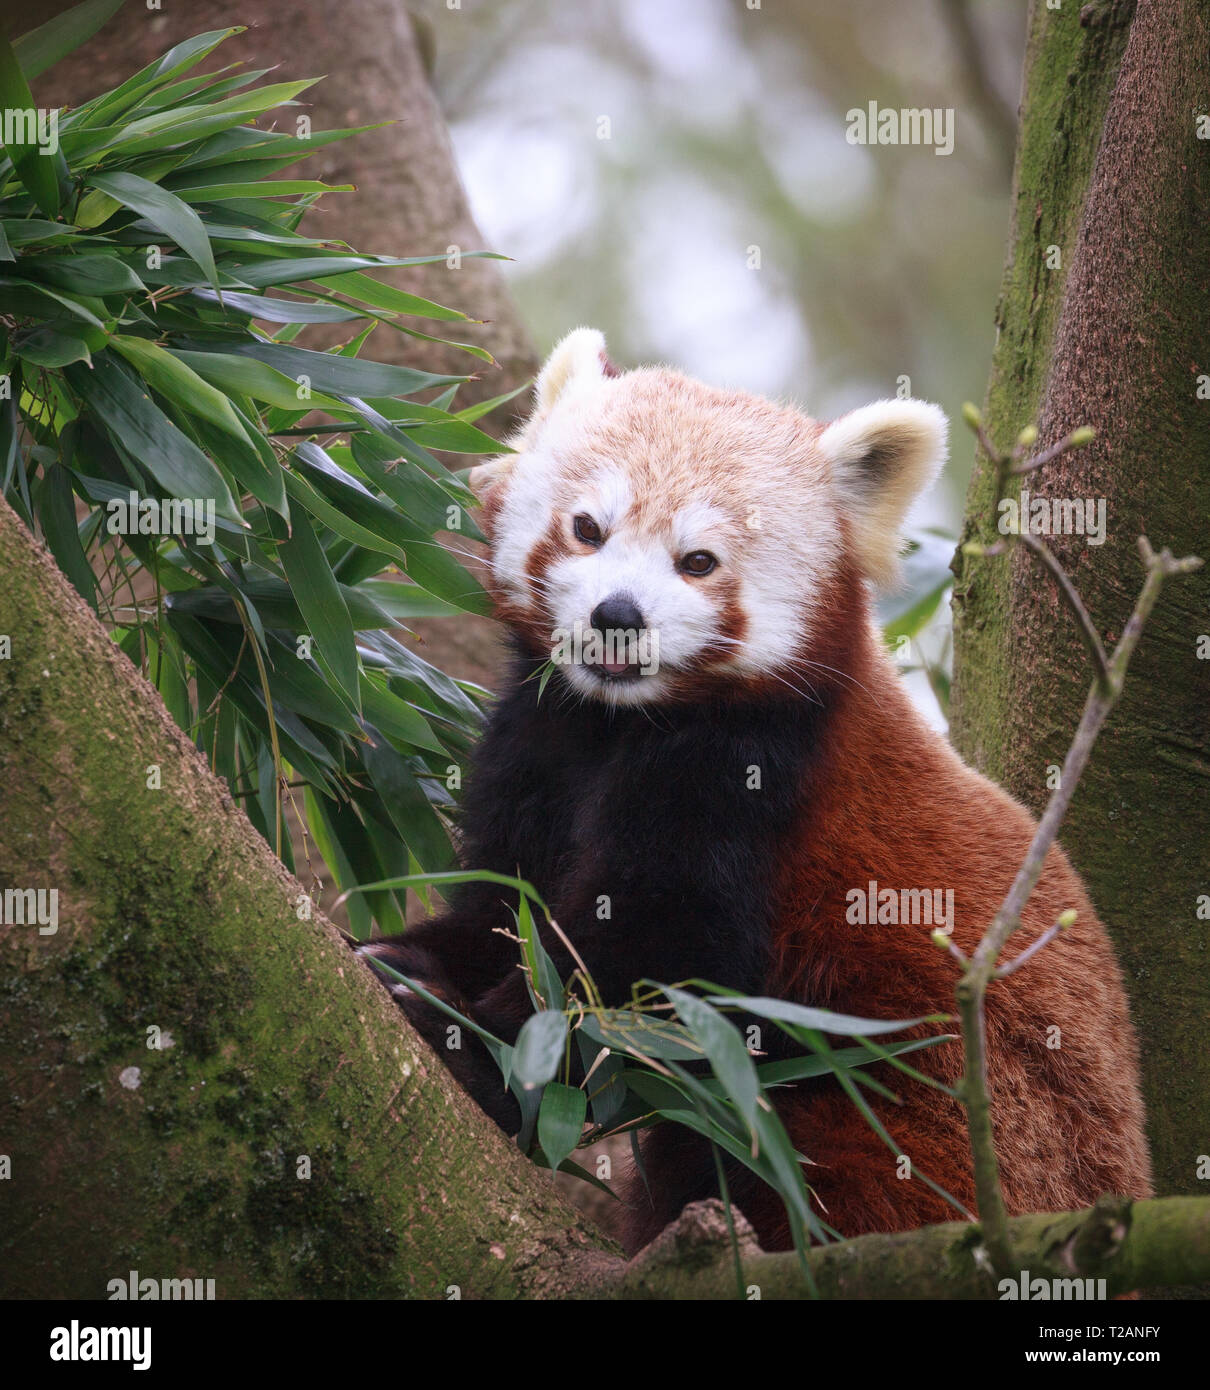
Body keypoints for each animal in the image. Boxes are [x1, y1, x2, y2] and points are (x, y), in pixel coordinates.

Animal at [360, 328, 1152, 1252]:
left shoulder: (753, 784)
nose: (618, 616)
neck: (623, 726)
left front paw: (475, 1041)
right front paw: (401, 957)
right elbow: (502, 906)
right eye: (587, 529)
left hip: (941, 1111)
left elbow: (636, 984)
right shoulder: (541, 742)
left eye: (698, 562)